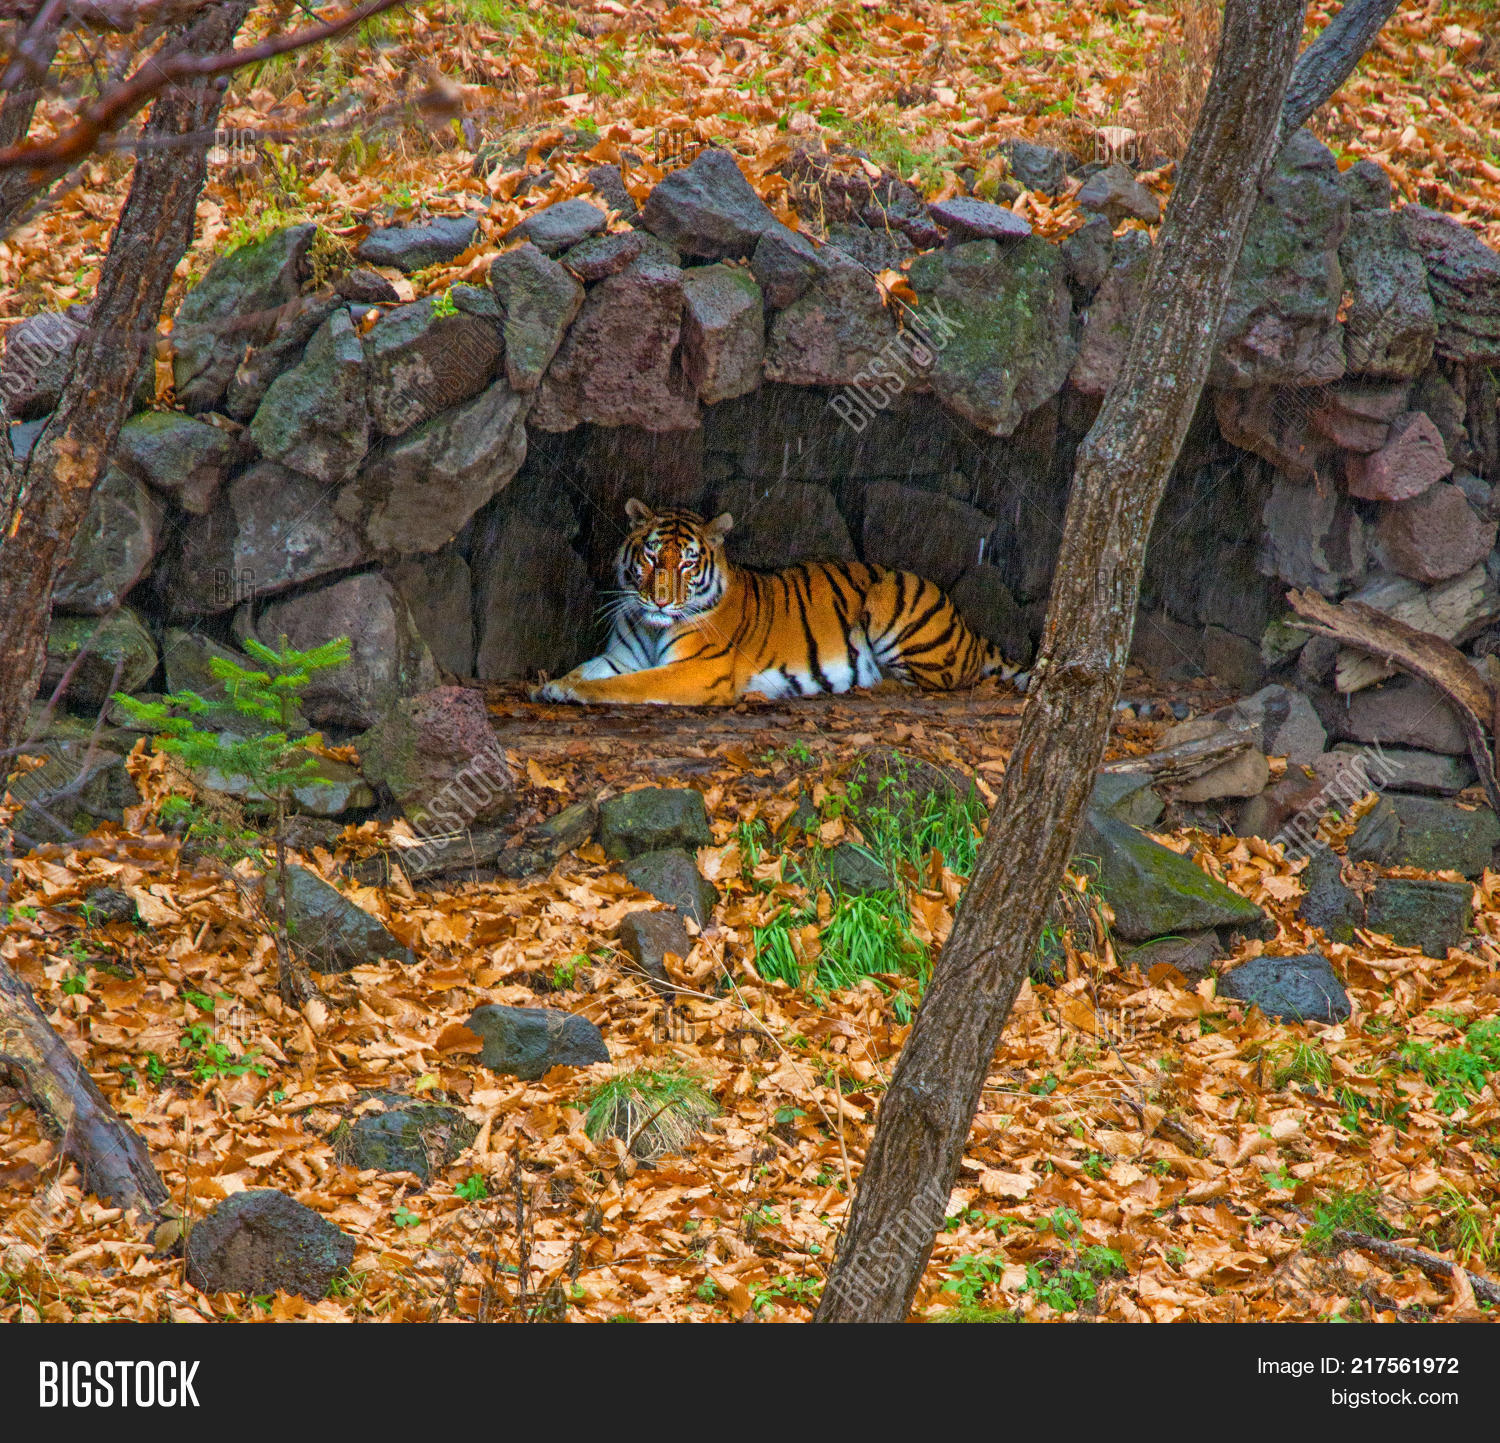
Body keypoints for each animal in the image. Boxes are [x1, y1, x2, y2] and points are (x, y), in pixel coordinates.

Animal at [530, 499, 1028, 706]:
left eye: (688, 562)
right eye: (652, 556)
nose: (660, 600)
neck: (653, 629)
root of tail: (970, 628)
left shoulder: (697, 670)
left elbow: (629, 686)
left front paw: (570, 692)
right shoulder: (620, 656)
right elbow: (588, 669)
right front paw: (551, 684)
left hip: (891, 598)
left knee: (930, 684)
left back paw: (866, 685)